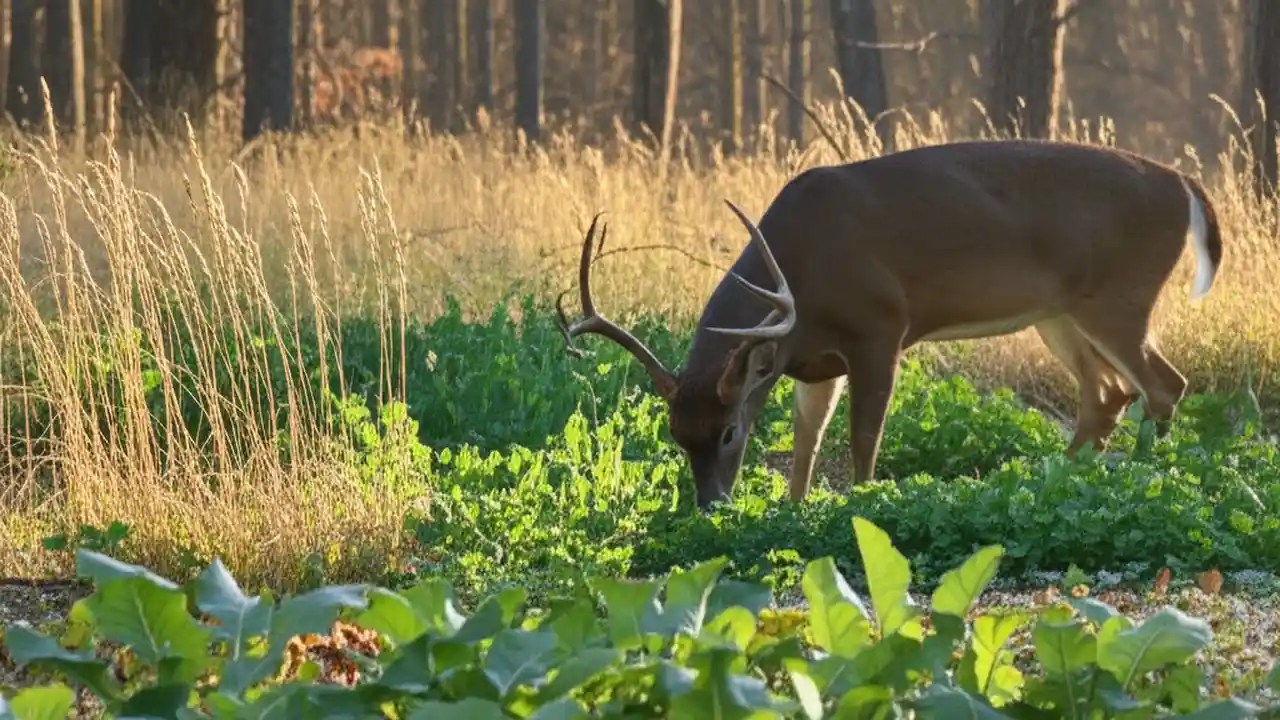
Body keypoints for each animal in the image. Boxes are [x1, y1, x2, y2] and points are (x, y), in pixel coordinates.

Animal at [555, 139, 1223, 511]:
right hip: (1060, 312)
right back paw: (1052, 481)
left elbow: (863, 436)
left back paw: (1148, 480)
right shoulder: (811, 358)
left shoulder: (881, 327)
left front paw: (862, 501)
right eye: (676, 433)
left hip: (1120, 296)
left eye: (727, 433)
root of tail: (1187, 185)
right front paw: (794, 508)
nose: (709, 507)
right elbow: (807, 436)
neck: (803, 267)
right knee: (1106, 395)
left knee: (1163, 385)